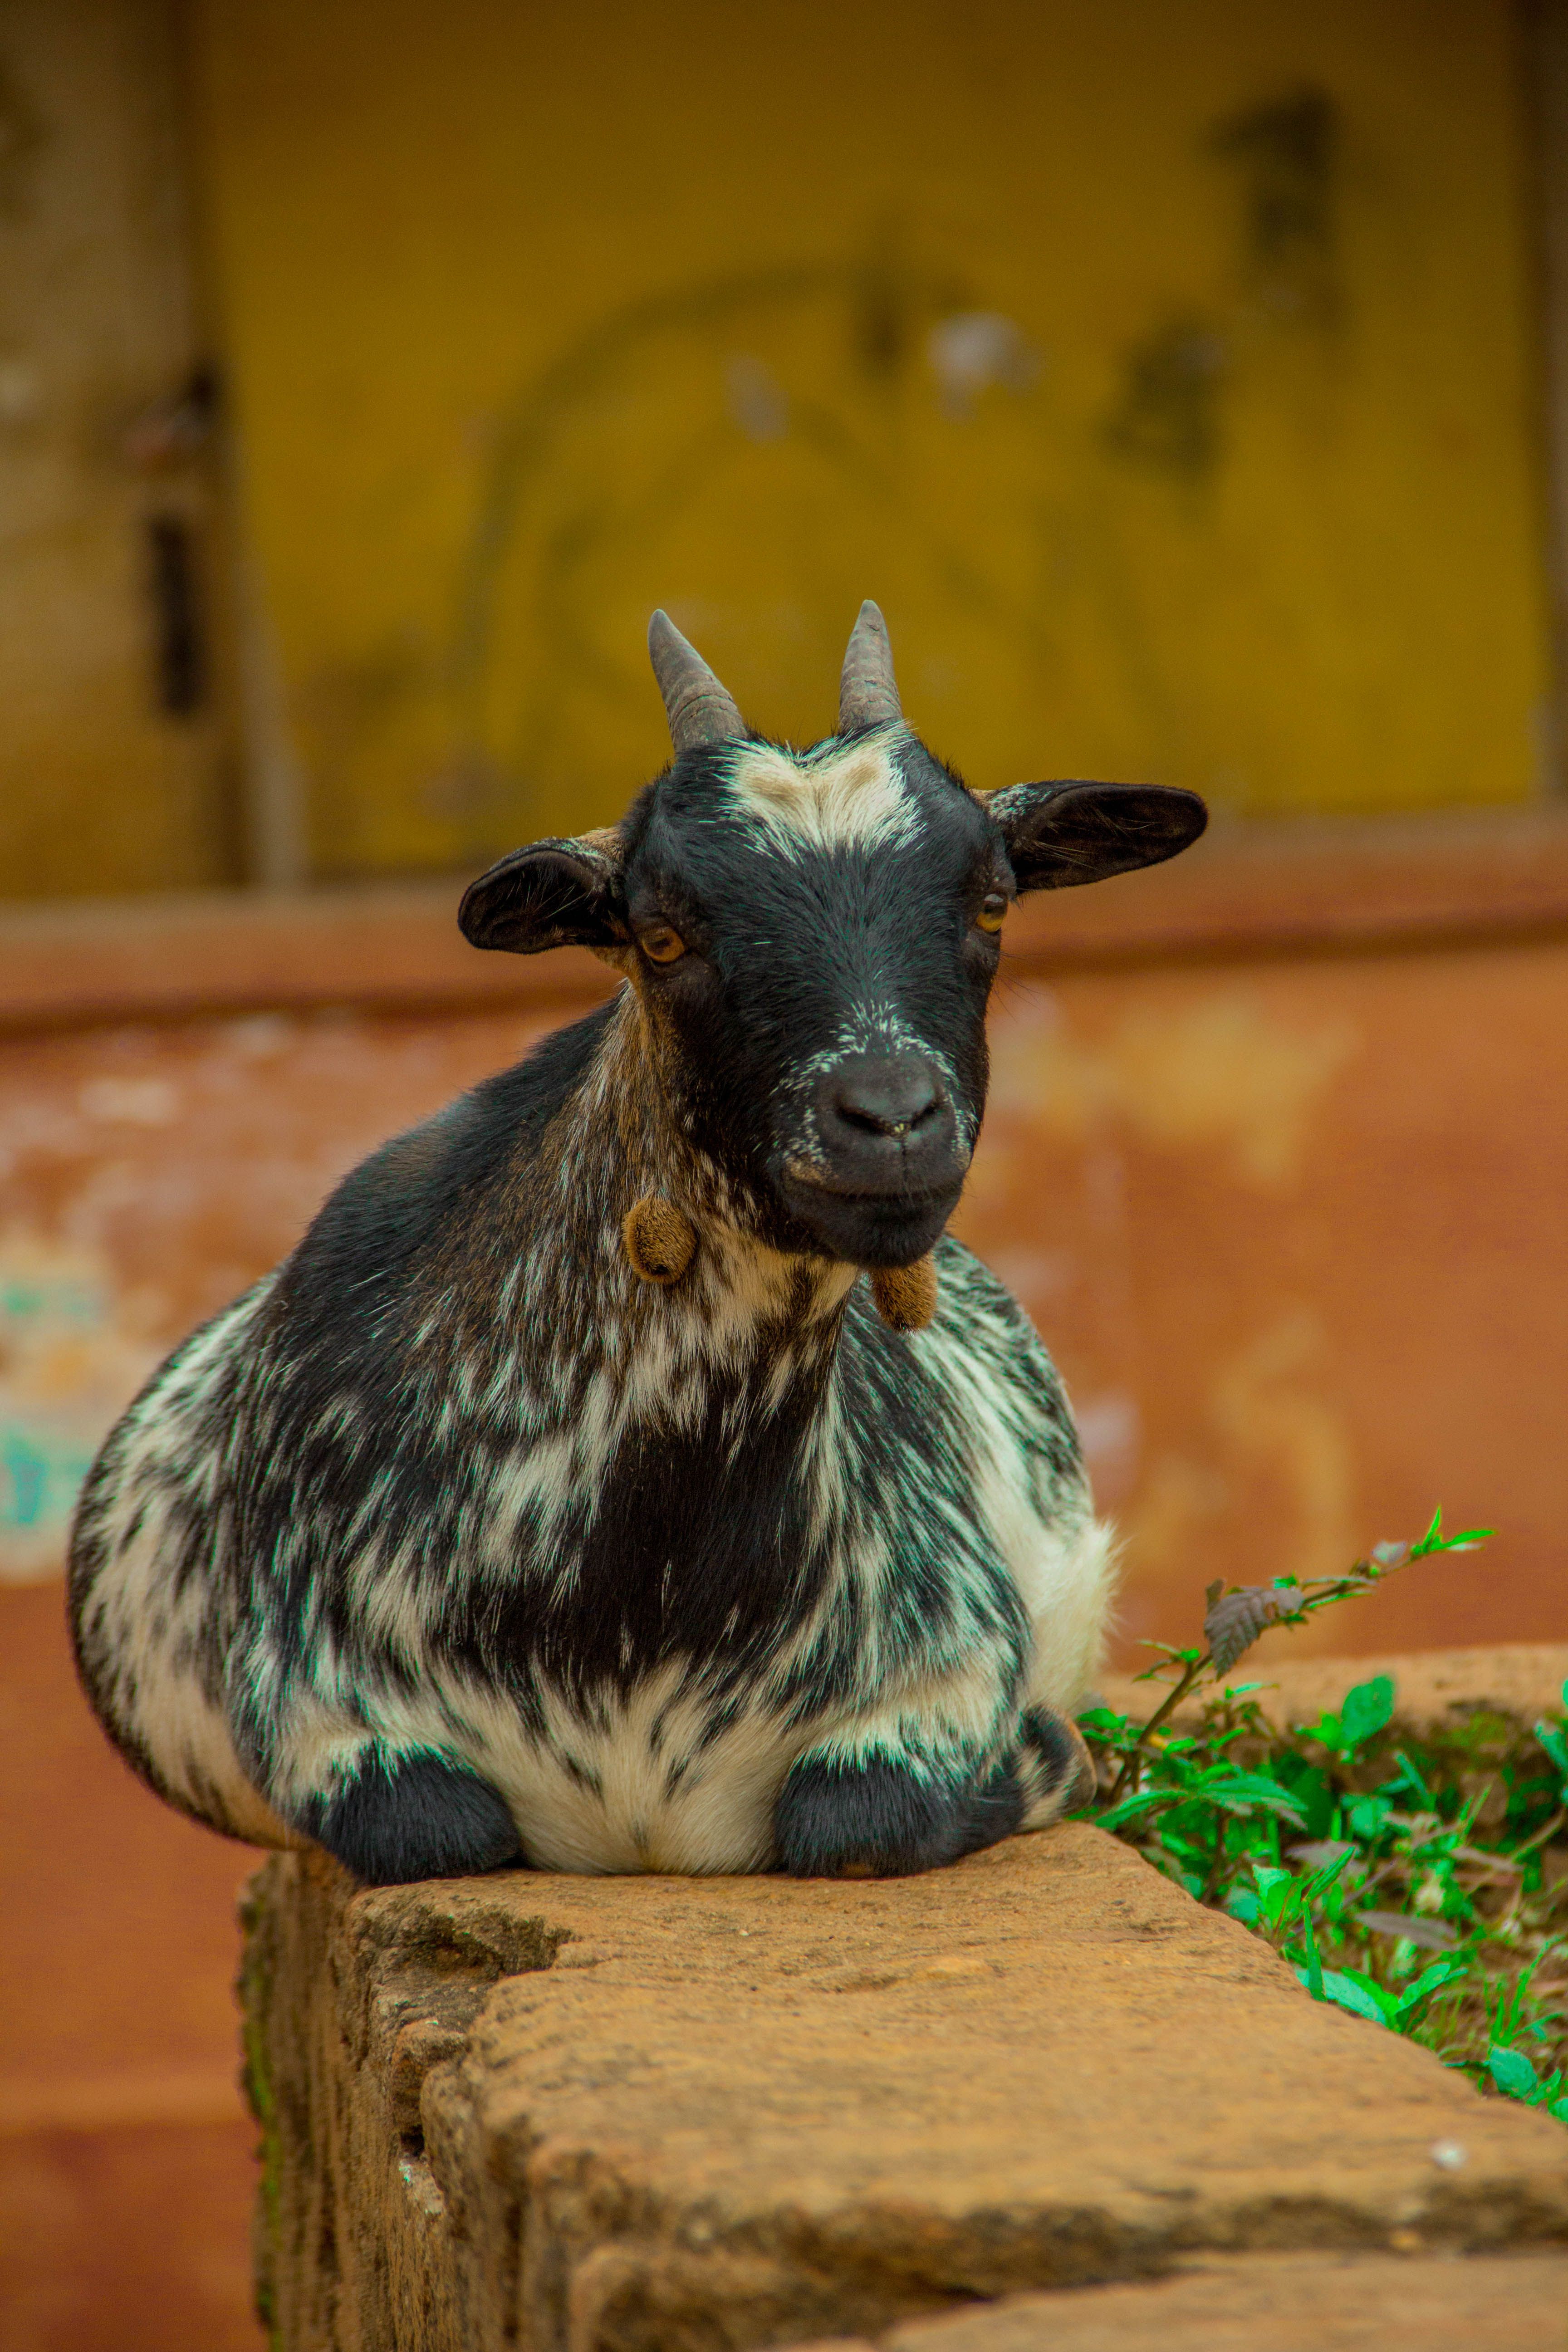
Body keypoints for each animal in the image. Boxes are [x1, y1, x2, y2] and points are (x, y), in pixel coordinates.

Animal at [69, 606, 1205, 1884]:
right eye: (662, 936)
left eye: (993, 901)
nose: (890, 1118)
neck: (630, 1597)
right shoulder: (318, 1705)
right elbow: (438, 1826)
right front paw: (1053, 1754)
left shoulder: (943, 1653)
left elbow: (861, 1818)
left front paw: (1044, 1752)